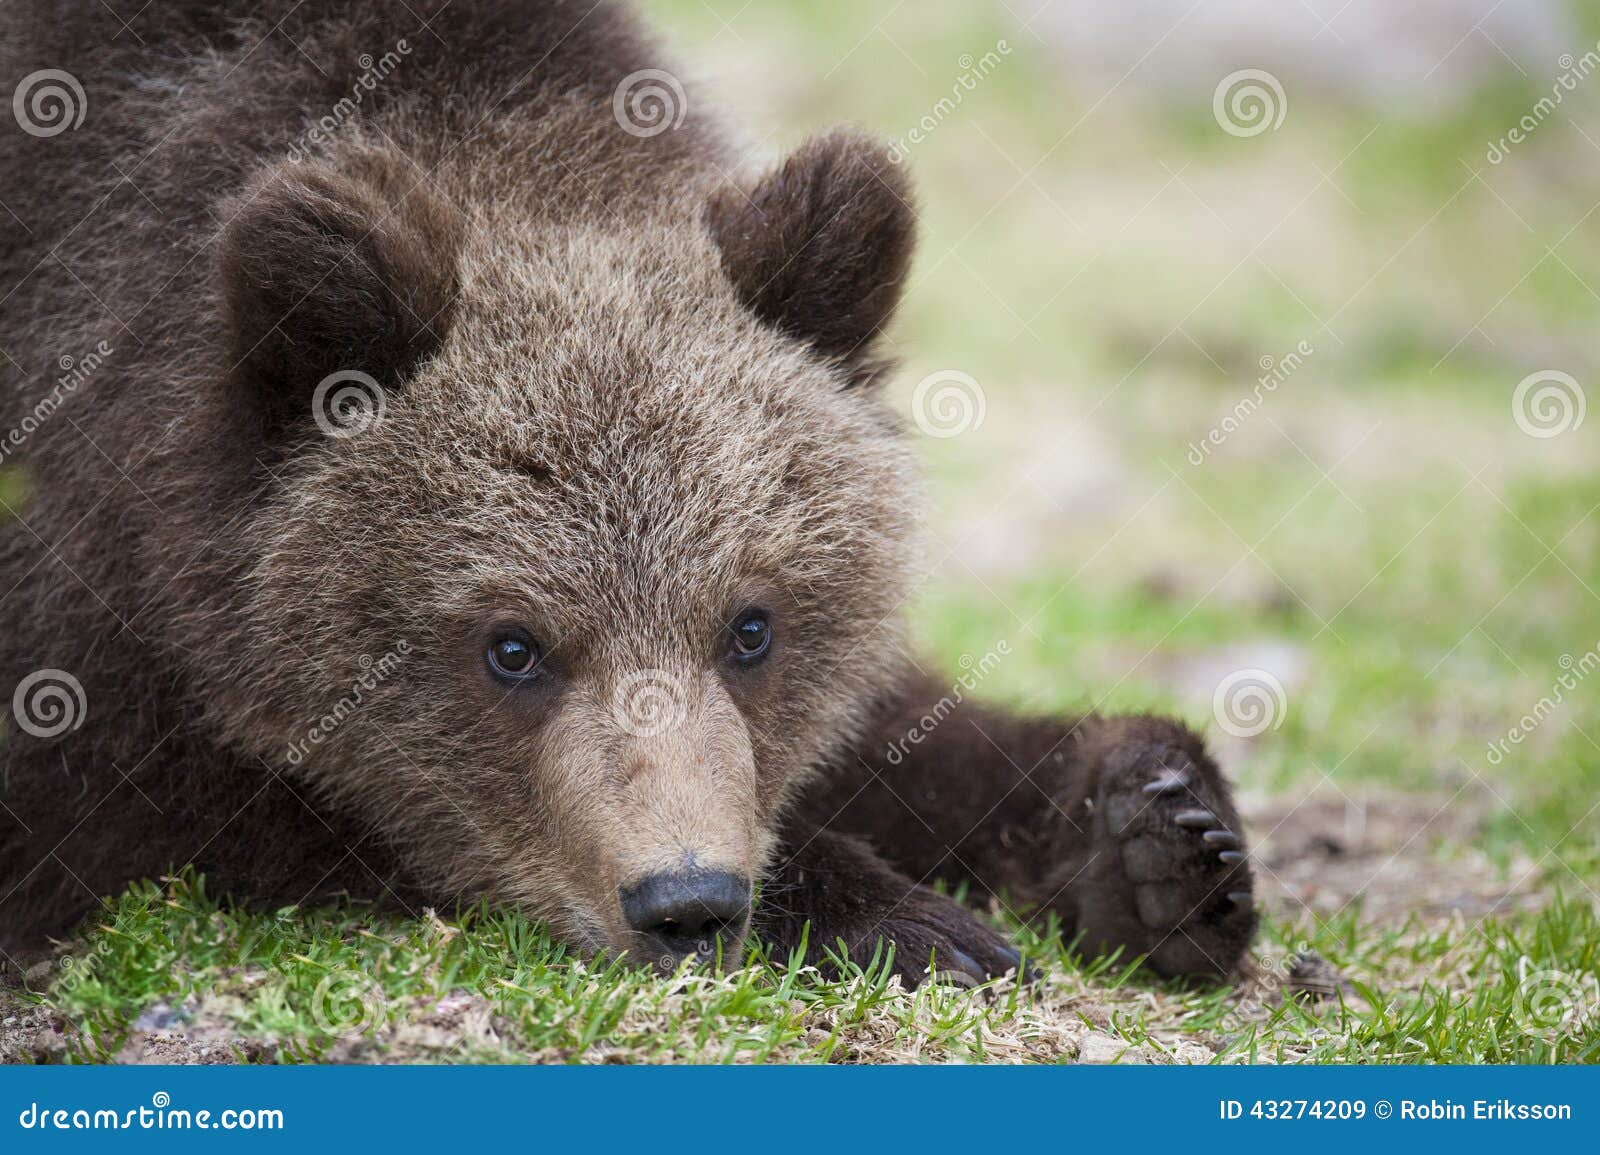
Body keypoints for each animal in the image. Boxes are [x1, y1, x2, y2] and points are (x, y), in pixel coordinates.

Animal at [0, 0, 1255, 984]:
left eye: (752, 625)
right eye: (511, 645)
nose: (685, 903)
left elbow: (895, 732)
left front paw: (1157, 836)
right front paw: (905, 919)